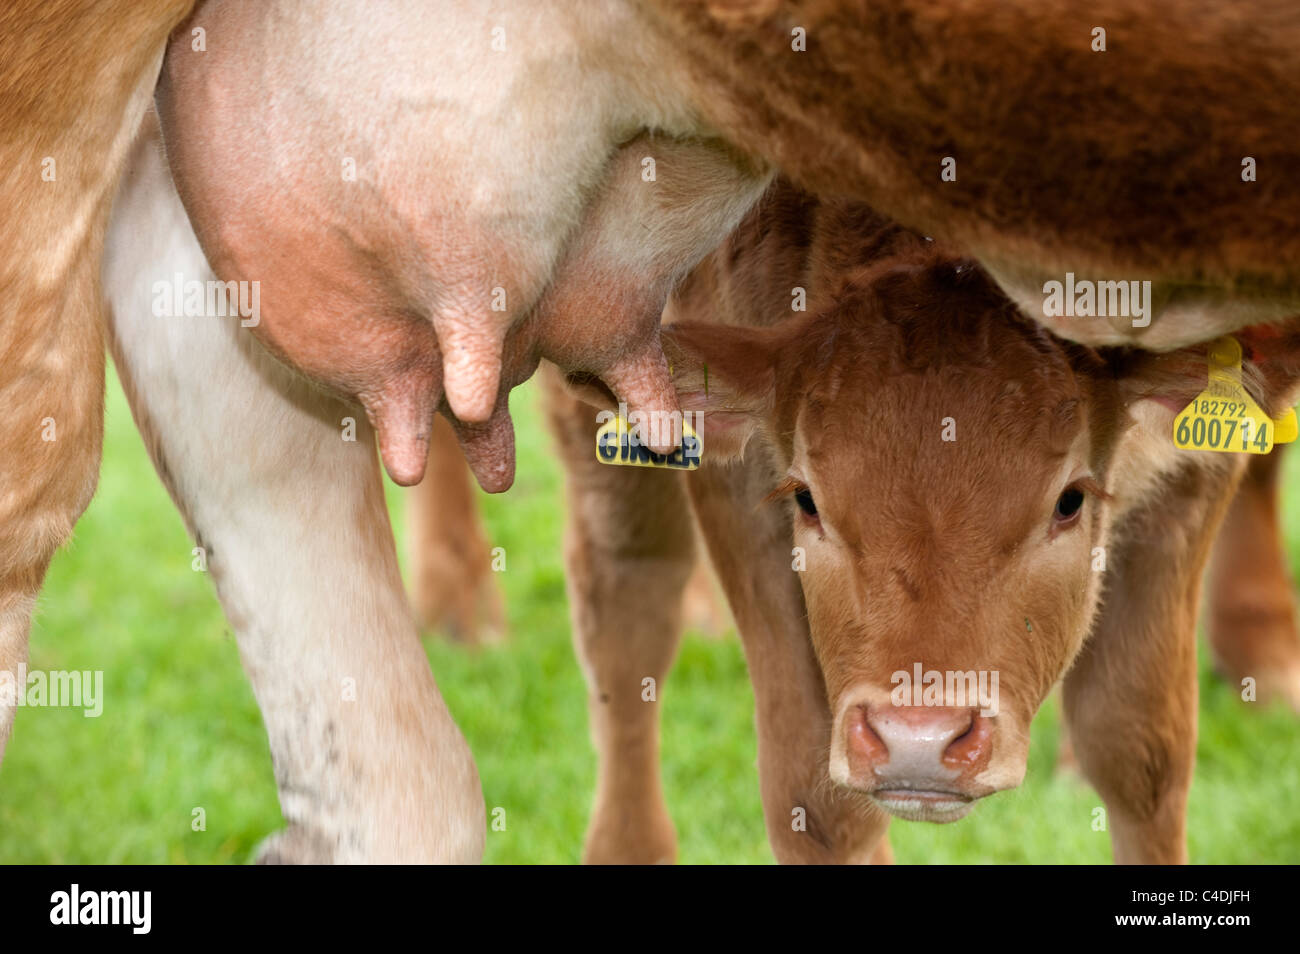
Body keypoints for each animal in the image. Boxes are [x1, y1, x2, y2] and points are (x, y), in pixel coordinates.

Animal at [547, 180, 1300, 864]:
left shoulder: (1195, 476)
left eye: (1070, 500)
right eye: (807, 500)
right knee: (628, 596)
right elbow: (816, 801)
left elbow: (1142, 760)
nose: (919, 742)